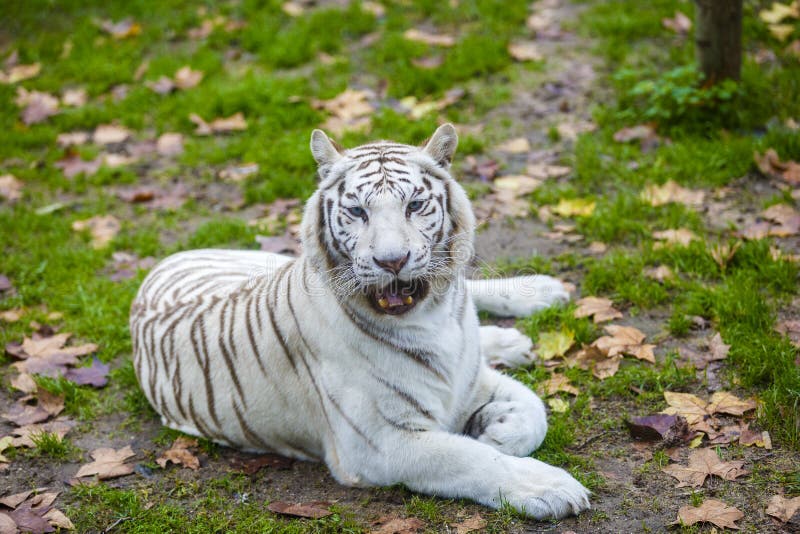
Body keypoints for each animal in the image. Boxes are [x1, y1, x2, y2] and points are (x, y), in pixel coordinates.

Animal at [130, 124, 591, 519]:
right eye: (356, 211)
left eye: (414, 205)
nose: (392, 261)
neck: (434, 317)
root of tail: (166, 262)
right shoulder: (380, 443)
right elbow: (469, 458)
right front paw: (549, 486)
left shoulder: (468, 378)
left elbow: (535, 410)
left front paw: (499, 432)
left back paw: (539, 296)